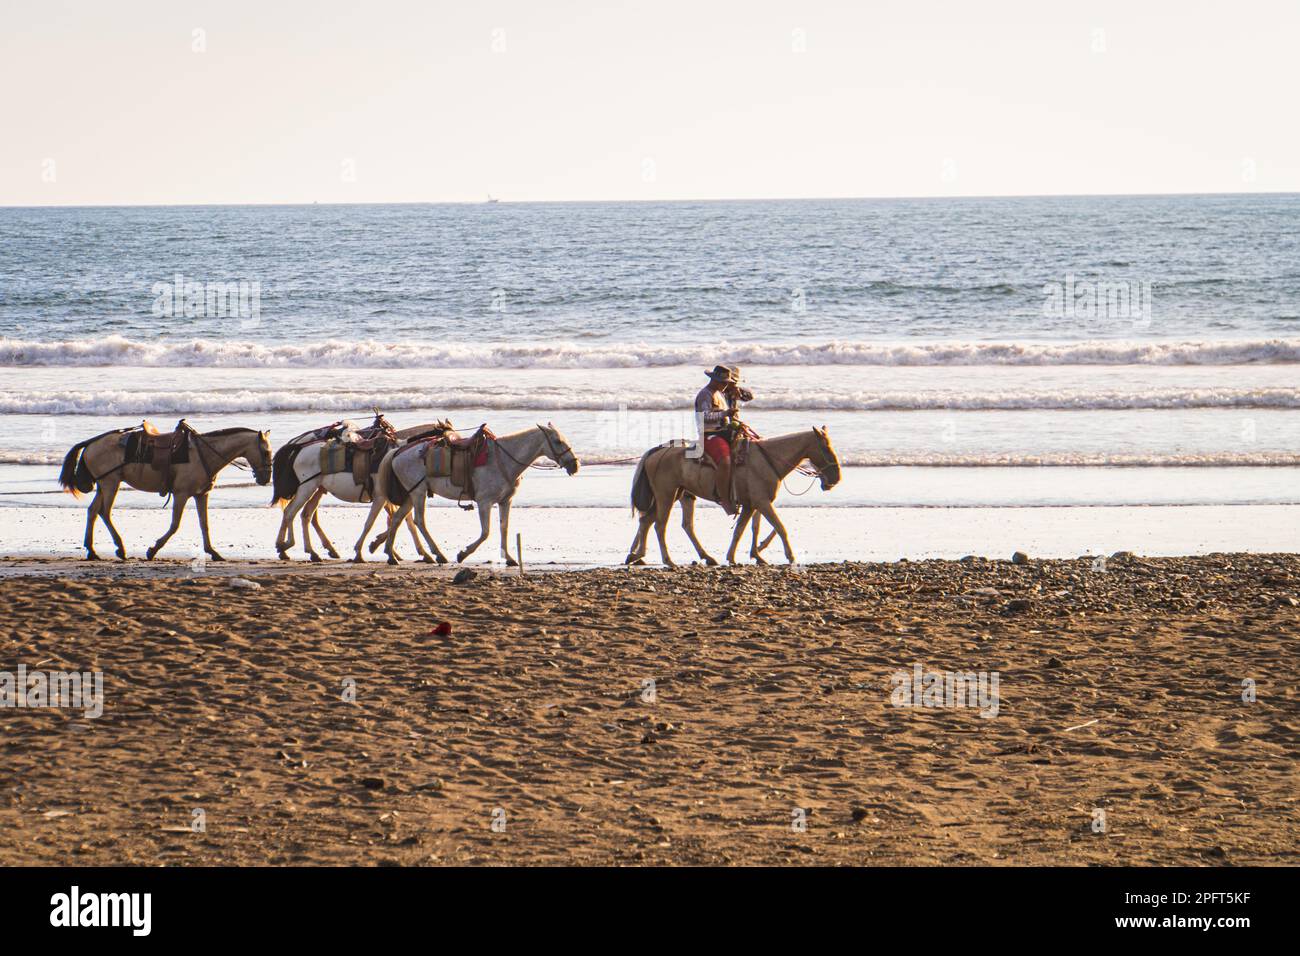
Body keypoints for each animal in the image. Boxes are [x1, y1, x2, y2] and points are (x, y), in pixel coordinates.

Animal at [58, 423, 273, 561]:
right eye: (265, 452)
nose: (265, 479)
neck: (204, 453)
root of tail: (91, 443)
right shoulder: (181, 494)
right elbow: (175, 524)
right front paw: (153, 550)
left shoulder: (201, 495)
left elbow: (204, 525)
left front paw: (213, 552)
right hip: (111, 483)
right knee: (104, 512)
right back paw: (120, 548)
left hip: (104, 485)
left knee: (93, 511)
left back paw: (92, 550)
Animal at [271, 416, 454, 562]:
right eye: (447, 441)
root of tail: (300, 447)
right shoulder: (382, 496)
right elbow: (375, 522)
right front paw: (365, 550)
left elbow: (403, 521)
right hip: (307, 487)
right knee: (291, 512)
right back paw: (285, 546)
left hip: (316, 489)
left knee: (306, 515)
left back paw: (312, 551)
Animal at [366, 423, 579, 566]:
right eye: (558, 441)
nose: (575, 465)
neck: (503, 460)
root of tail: (397, 451)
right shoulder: (485, 502)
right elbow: (486, 532)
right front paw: (463, 554)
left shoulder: (505, 502)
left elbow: (504, 528)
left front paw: (509, 558)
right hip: (418, 494)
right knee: (419, 521)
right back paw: (438, 554)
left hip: (412, 494)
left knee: (397, 518)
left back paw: (391, 555)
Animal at [625, 426, 841, 567]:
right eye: (825, 448)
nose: (836, 478)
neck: (767, 459)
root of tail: (656, 452)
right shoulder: (762, 503)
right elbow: (780, 527)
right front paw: (790, 556)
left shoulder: (751, 505)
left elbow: (742, 530)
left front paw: (736, 556)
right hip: (666, 496)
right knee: (660, 525)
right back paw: (667, 560)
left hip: (681, 495)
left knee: (660, 522)